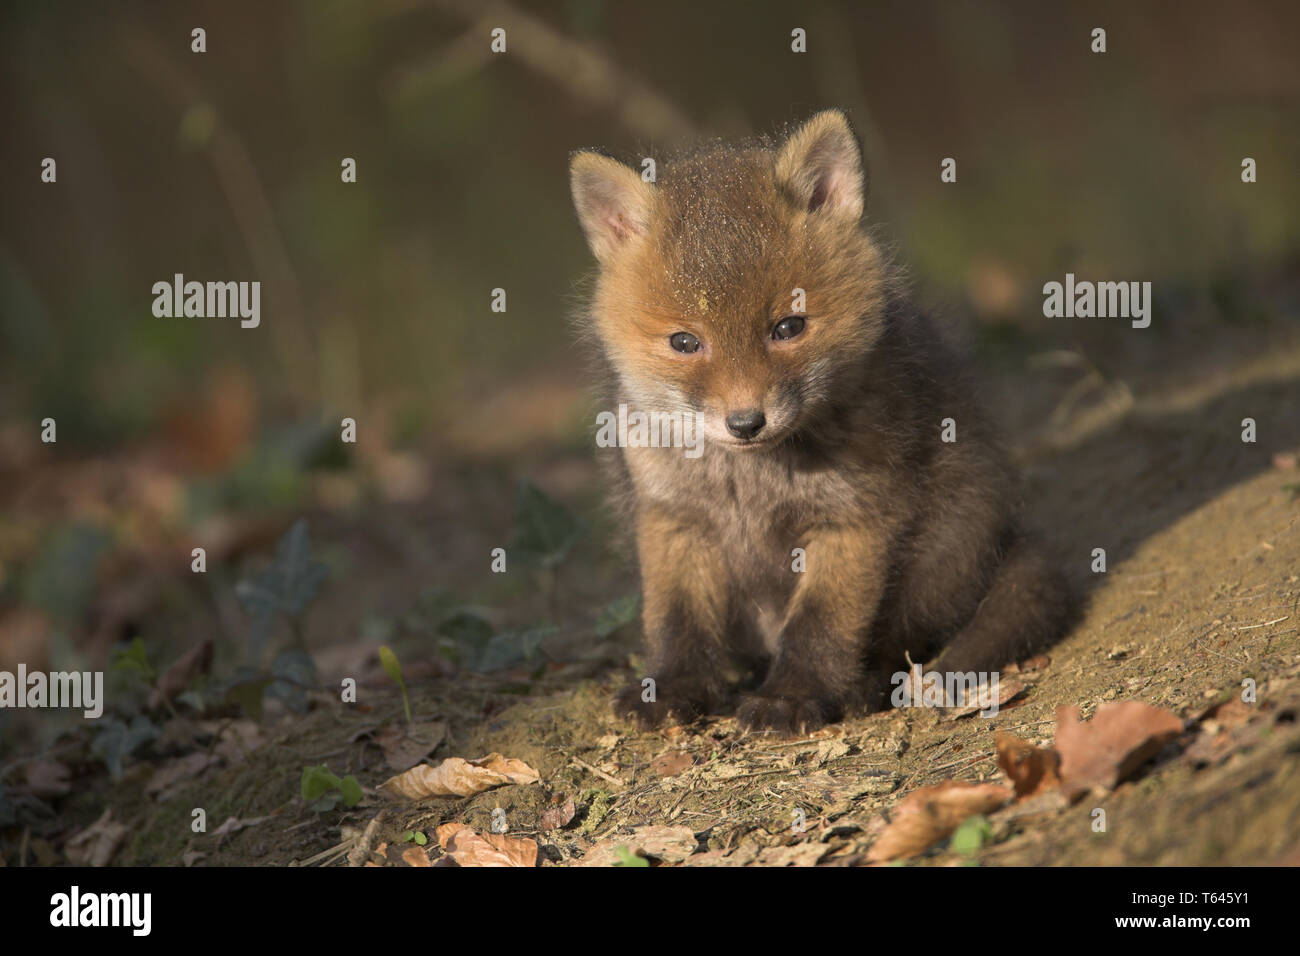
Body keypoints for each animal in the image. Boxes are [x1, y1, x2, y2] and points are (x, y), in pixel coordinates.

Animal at [569, 109, 1073, 734]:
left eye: (788, 328)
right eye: (684, 342)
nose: (745, 422)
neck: (751, 483)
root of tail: (1008, 536)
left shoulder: (854, 521)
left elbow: (820, 626)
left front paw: (791, 697)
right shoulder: (674, 520)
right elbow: (677, 621)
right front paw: (672, 688)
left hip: (943, 552)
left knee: (905, 638)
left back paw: (866, 687)